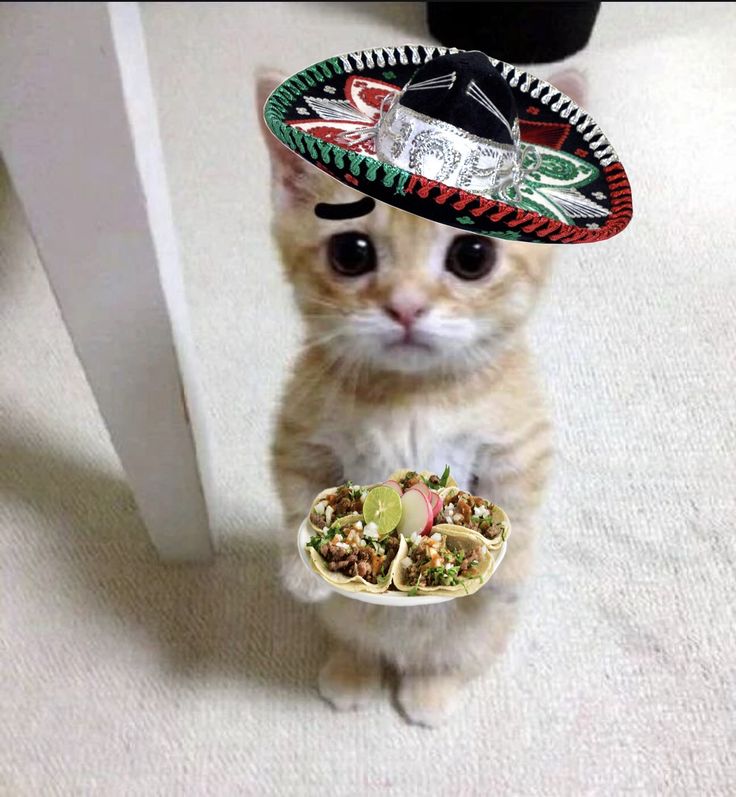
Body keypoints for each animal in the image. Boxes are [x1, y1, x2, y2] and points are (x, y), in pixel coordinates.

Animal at [258, 73, 580, 728]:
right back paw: (353, 673)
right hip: (344, 617)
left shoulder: (519, 440)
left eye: (473, 257)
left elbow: (519, 500)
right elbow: (297, 489)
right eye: (351, 253)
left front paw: (513, 569)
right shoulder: (300, 429)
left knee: (449, 657)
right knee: (356, 638)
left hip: (480, 636)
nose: (406, 305)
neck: (412, 395)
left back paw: (429, 692)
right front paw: (300, 567)